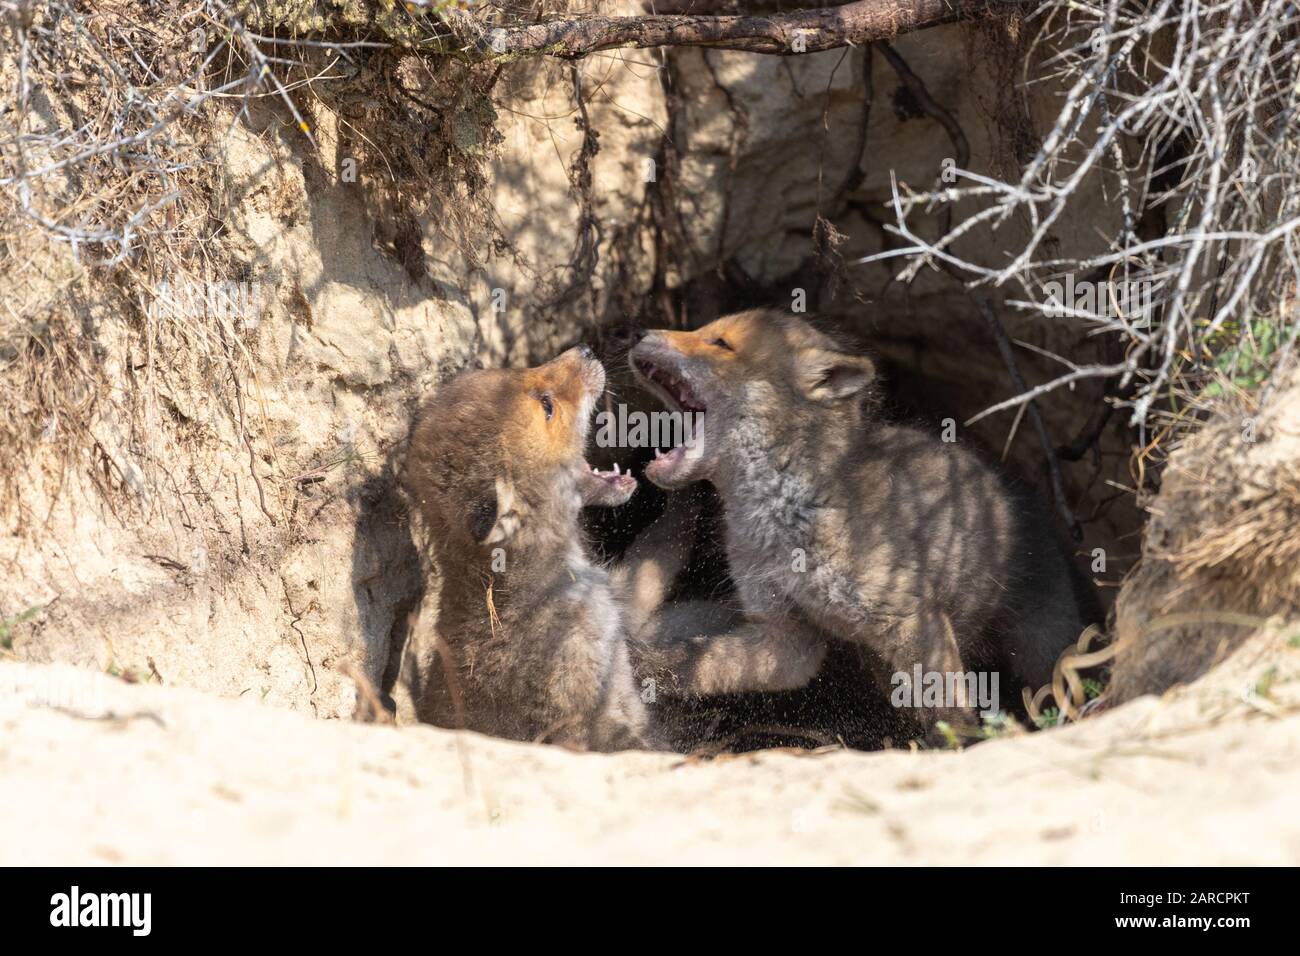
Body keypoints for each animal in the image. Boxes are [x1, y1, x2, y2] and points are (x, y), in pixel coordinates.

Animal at [628, 309, 1102, 732]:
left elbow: (951, 712)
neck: (788, 516)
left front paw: (963, 746)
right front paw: (634, 667)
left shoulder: (912, 617)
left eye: (719, 343)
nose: (638, 332)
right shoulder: (787, 635)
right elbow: (694, 664)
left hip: (1043, 644)